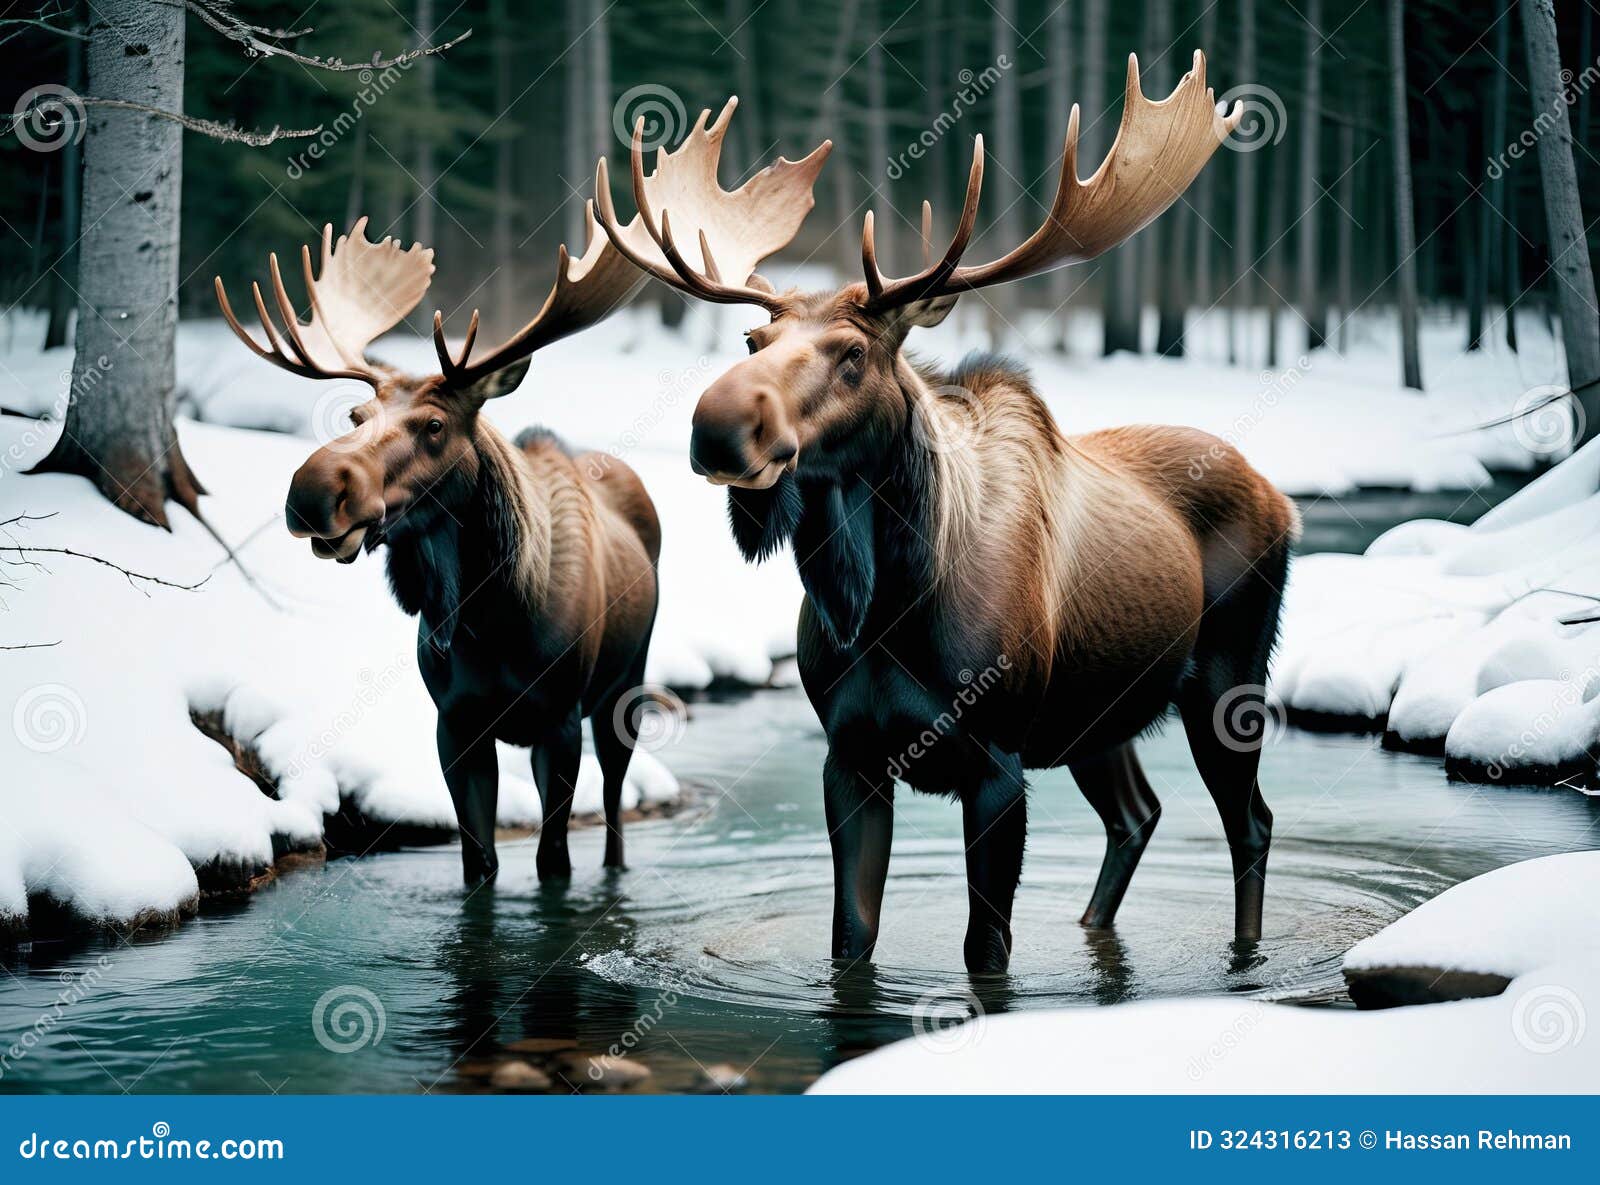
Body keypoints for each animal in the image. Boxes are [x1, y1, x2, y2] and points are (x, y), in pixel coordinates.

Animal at [214, 213, 660, 888]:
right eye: (355, 413)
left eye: (434, 425)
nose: (312, 490)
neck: (492, 620)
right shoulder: (456, 724)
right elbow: (480, 862)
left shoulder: (559, 720)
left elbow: (552, 861)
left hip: (622, 690)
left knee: (613, 807)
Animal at [593, 55, 1300, 973]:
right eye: (752, 342)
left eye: (853, 353)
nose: (718, 423)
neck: (886, 607)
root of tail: (1281, 499)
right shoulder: (851, 757)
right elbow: (850, 937)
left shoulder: (995, 763)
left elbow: (983, 949)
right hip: (1096, 716)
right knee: (1137, 814)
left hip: (1227, 680)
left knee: (1250, 822)